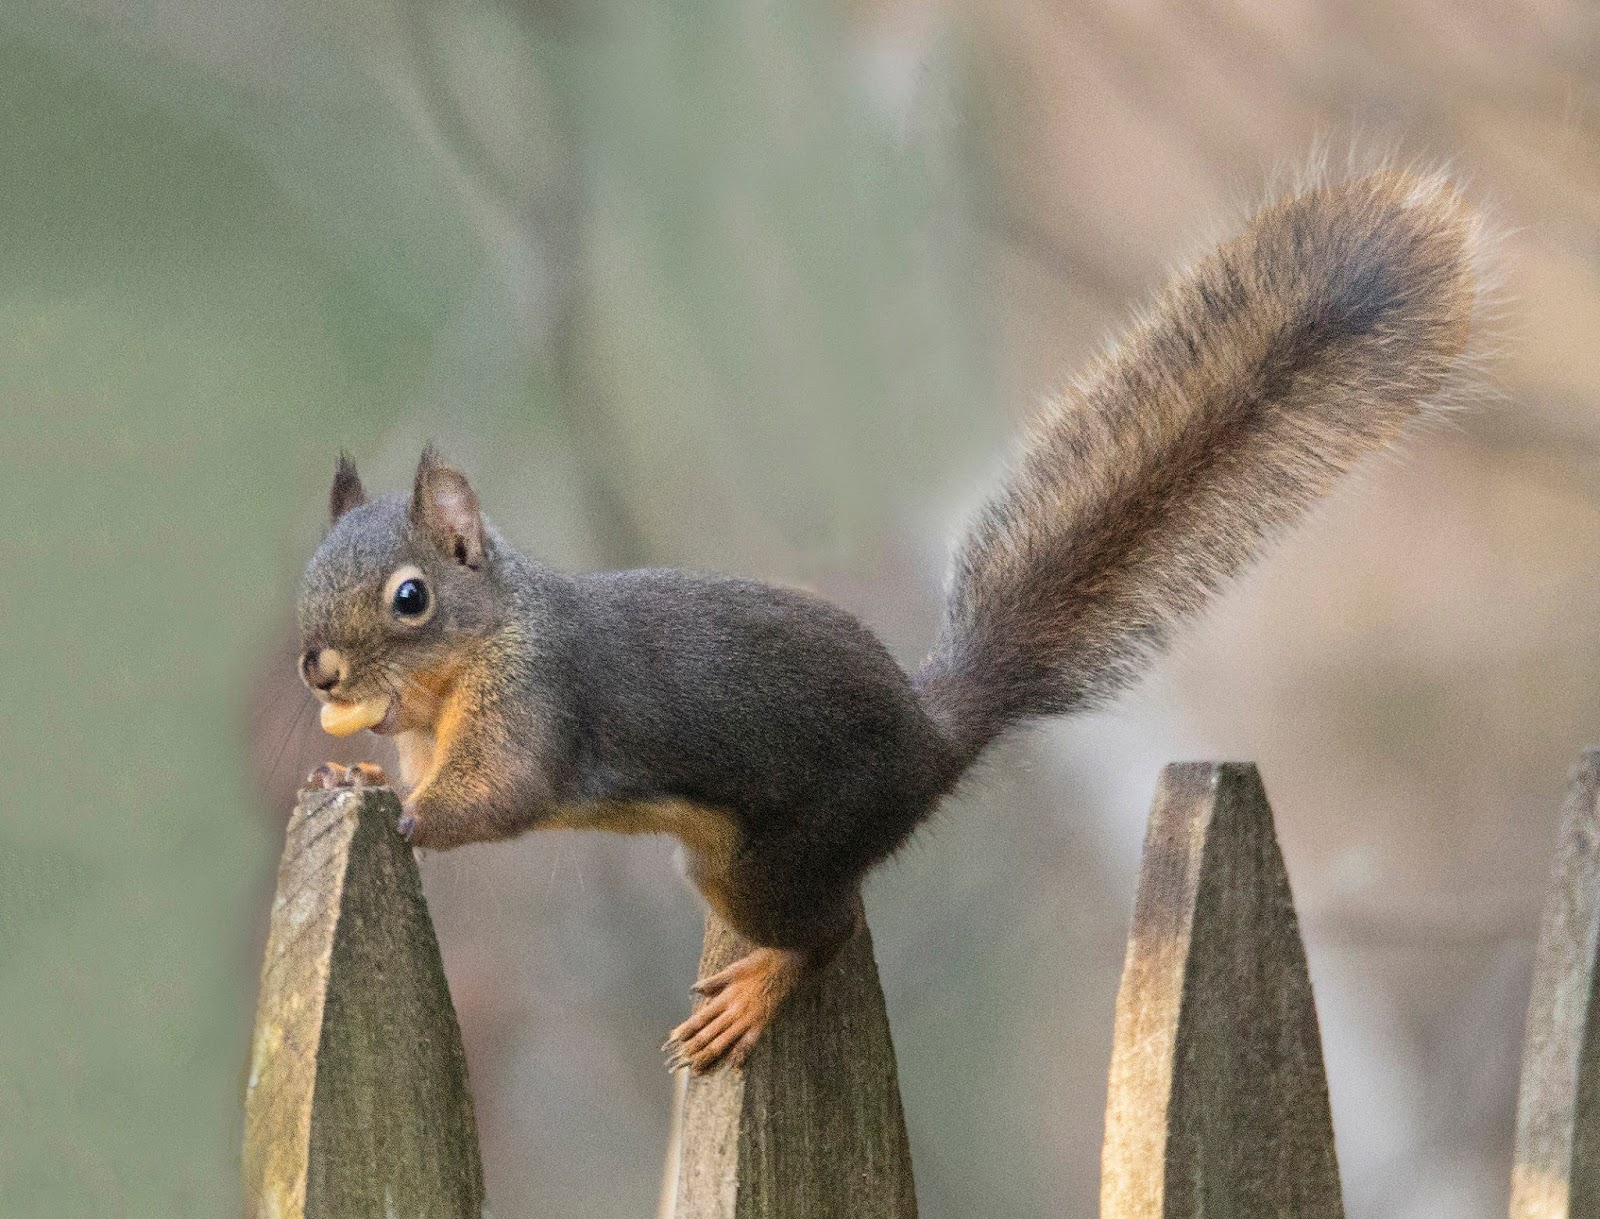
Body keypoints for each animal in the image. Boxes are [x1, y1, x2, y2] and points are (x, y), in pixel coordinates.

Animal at [296, 168, 1483, 1073]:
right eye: (309, 576)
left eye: (410, 597)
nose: (318, 672)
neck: (460, 669)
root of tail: (931, 743)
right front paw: (350, 771)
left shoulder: (537, 697)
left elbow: (504, 791)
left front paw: (415, 820)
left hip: (783, 857)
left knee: (831, 930)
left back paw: (762, 985)